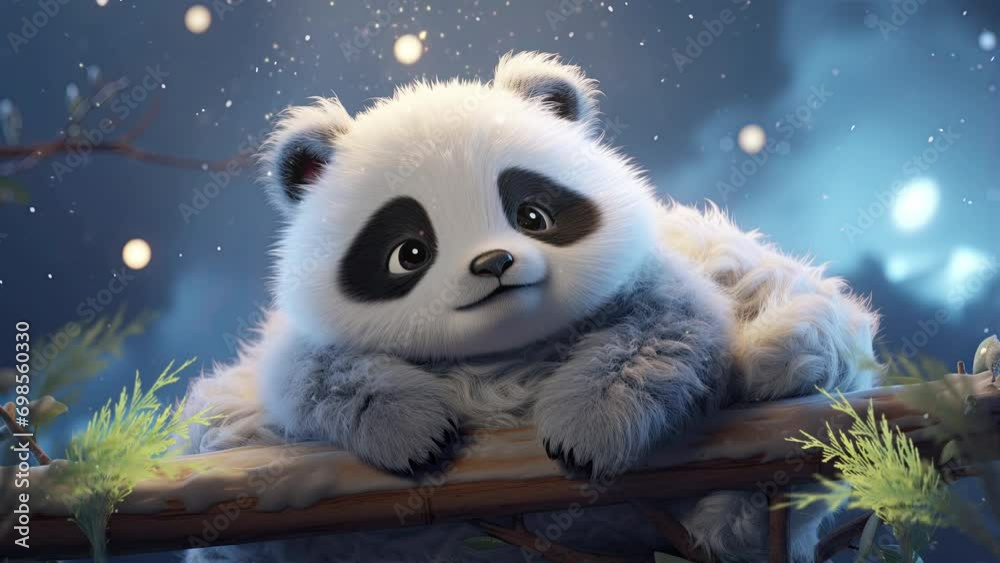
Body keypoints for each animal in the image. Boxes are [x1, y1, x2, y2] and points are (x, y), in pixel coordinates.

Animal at [183, 52, 879, 563]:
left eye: (533, 215)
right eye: (410, 252)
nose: (493, 264)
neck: (503, 352)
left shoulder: (656, 276)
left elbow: (665, 332)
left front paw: (587, 429)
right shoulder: (294, 341)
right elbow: (307, 372)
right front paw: (412, 429)